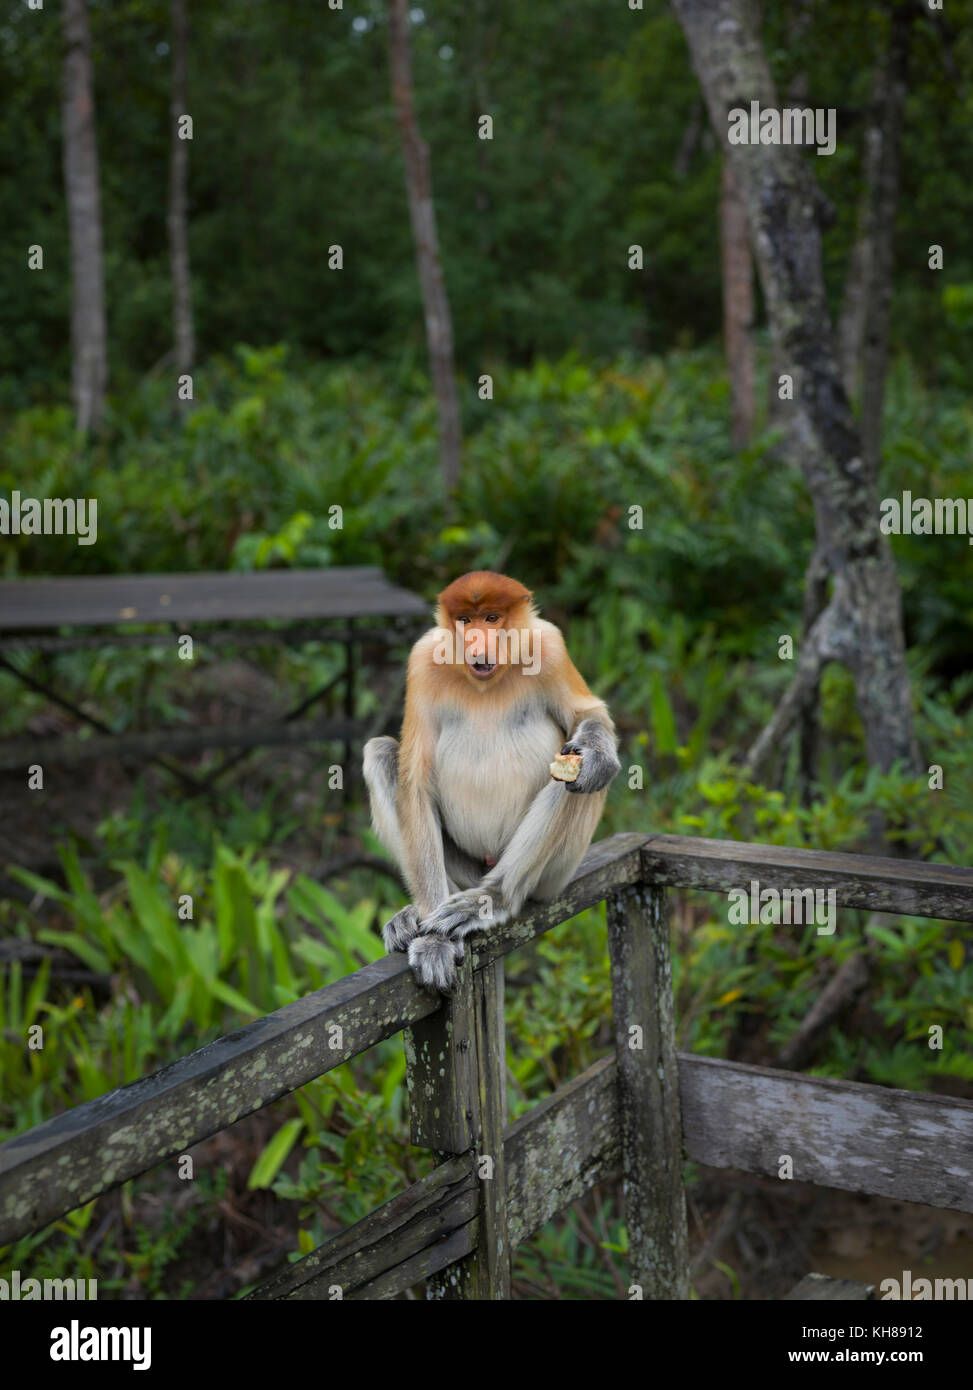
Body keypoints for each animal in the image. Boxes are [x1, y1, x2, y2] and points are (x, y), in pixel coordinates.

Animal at [363, 571, 620, 992]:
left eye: (493, 618)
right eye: (466, 620)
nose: (476, 642)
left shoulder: (549, 645)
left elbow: (588, 713)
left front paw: (599, 757)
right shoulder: (422, 661)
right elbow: (414, 782)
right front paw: (433, 943)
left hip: (555, 874)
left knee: (572, 781)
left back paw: (490, 900)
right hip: (464, 867)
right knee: (379, 752)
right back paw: (418, 915)